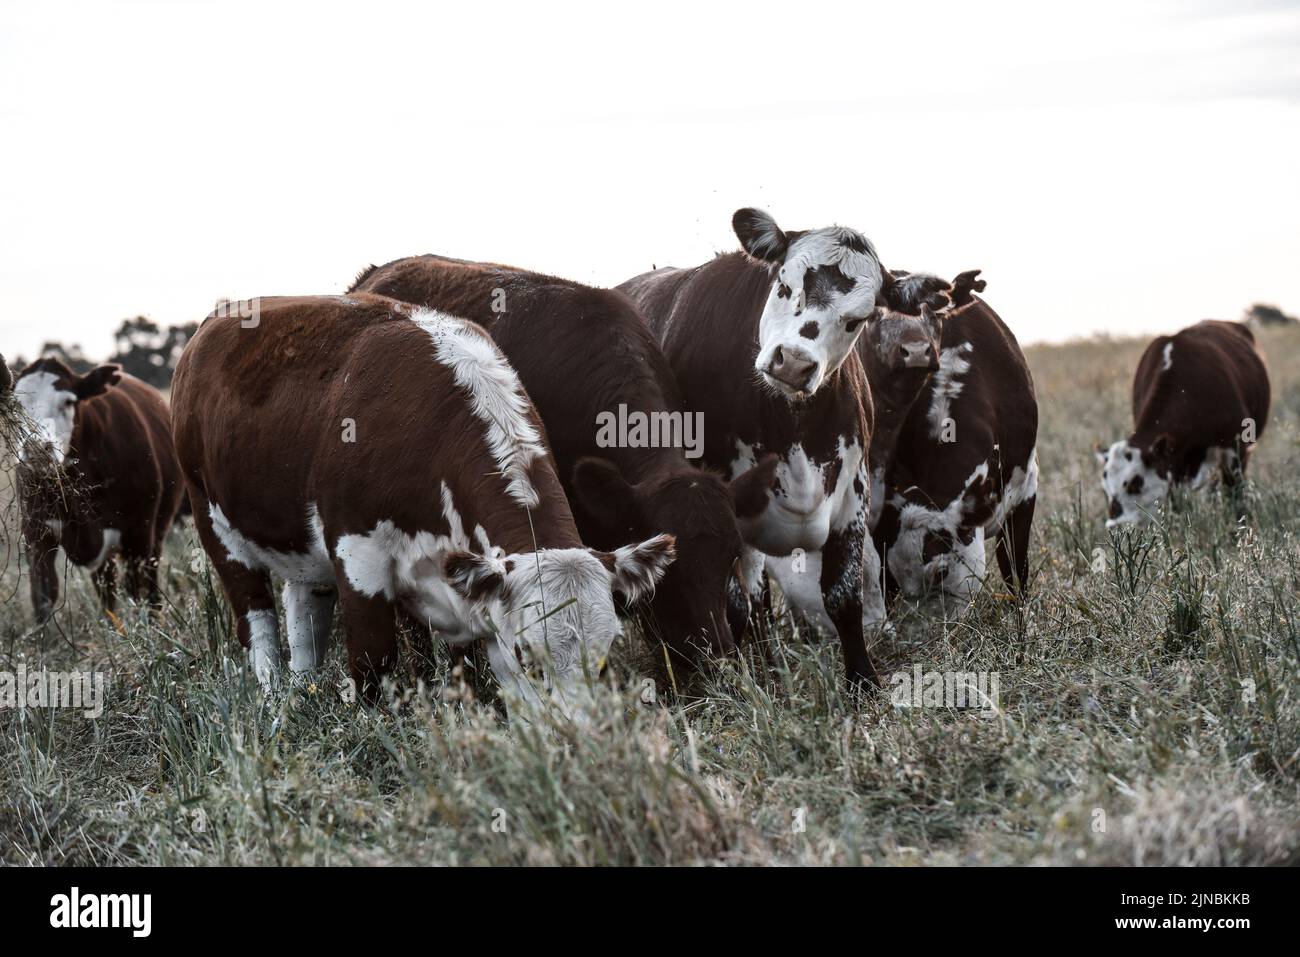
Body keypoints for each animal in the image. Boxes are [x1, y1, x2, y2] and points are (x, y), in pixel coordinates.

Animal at [5, 357, 184, 621]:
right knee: (106, 589)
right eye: (17, 406)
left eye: (68, 401)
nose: (36, 449)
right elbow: (44, 596)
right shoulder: (36, 535)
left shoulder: (139, 533)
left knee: (148, 584)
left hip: (156, 534)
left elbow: (136, 593)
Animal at [170, 293, 676, 713]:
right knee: (257, 622)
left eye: (605, 657)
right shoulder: (357, 553)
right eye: (528, 654)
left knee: (305, 616)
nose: (578, 735)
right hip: (211, 520)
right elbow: (373, 660)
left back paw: (300, 693)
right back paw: (274, 699)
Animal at [619, 208, 902, 689]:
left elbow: (844, 595)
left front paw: (863, 683)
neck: (792, 423)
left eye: (857, 320)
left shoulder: (853, 490)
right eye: (784, 285)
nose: (793, 363)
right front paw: (749, 679)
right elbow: (739, 604)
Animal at [1097, 320, 1269, 527]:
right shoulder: (1173, 465)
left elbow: (1235, 498)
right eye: (1105, 489)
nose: (1115, 526)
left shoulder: (1237, 451)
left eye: (1135, 484)